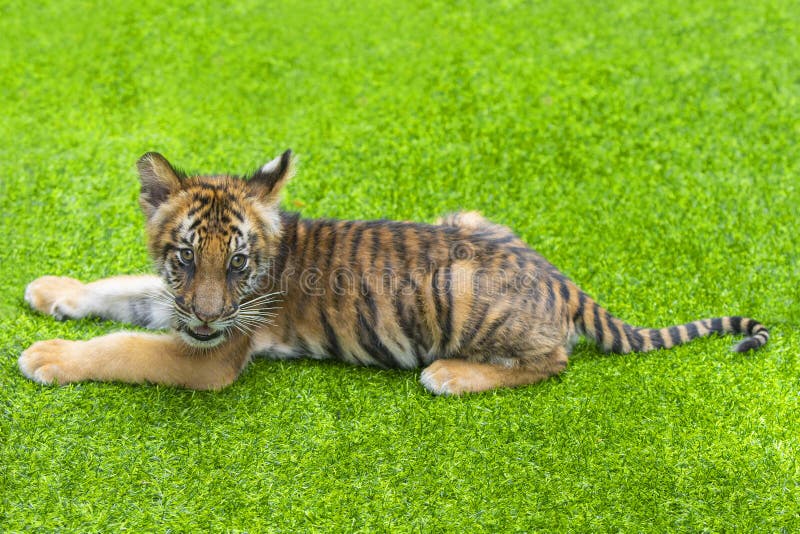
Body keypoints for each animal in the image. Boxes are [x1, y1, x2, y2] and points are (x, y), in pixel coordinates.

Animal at [19, 150, 770, 395]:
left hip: (468, 293)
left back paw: (452, 375)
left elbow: (125, 346)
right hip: (464, 214)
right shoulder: (179, 308)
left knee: (553, 359)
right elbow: (122, 290)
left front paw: (47, 356)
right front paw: (52, 290)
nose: (205, 315)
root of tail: (558, 278)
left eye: (238, 265)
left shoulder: (212, 355)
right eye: (183, 257)